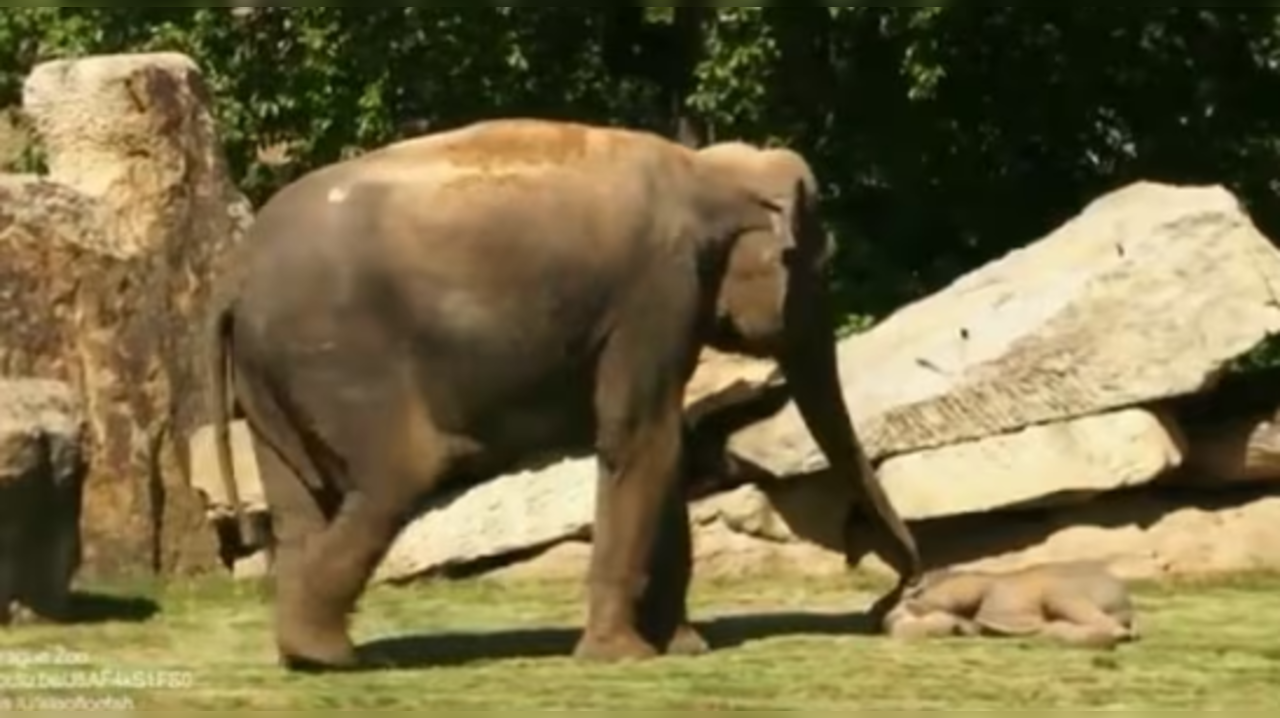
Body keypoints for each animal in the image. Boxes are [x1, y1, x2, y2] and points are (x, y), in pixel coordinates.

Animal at [204, 118, 922, 671]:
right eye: (821, 265)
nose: (898, 596)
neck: (706, 171)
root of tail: (236, 283)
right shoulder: (656, 293)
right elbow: (643, 440)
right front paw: (623, 657)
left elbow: (660, 449)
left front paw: (683, 648)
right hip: (337, 357)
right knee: (401, 472)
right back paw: (333, 656)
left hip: (269, 383)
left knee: (301, 502)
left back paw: (308, 655)